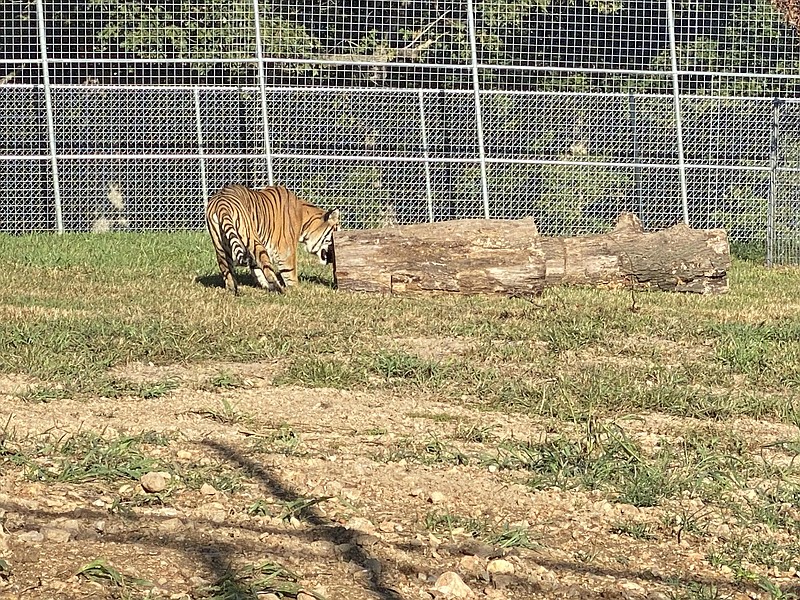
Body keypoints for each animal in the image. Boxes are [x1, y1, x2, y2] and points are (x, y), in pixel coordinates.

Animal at [205, 184, 340, 295]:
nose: (334, 258)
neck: (305, 220)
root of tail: (221, 203)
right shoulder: (286, 250)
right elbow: (290, 272)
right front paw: (296, 290)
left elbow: (256, 269)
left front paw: (265, 286)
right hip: (252, 238)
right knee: (266, 265)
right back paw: (279, 289)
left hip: (221, 247)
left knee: (226, 270)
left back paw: (233, 290)